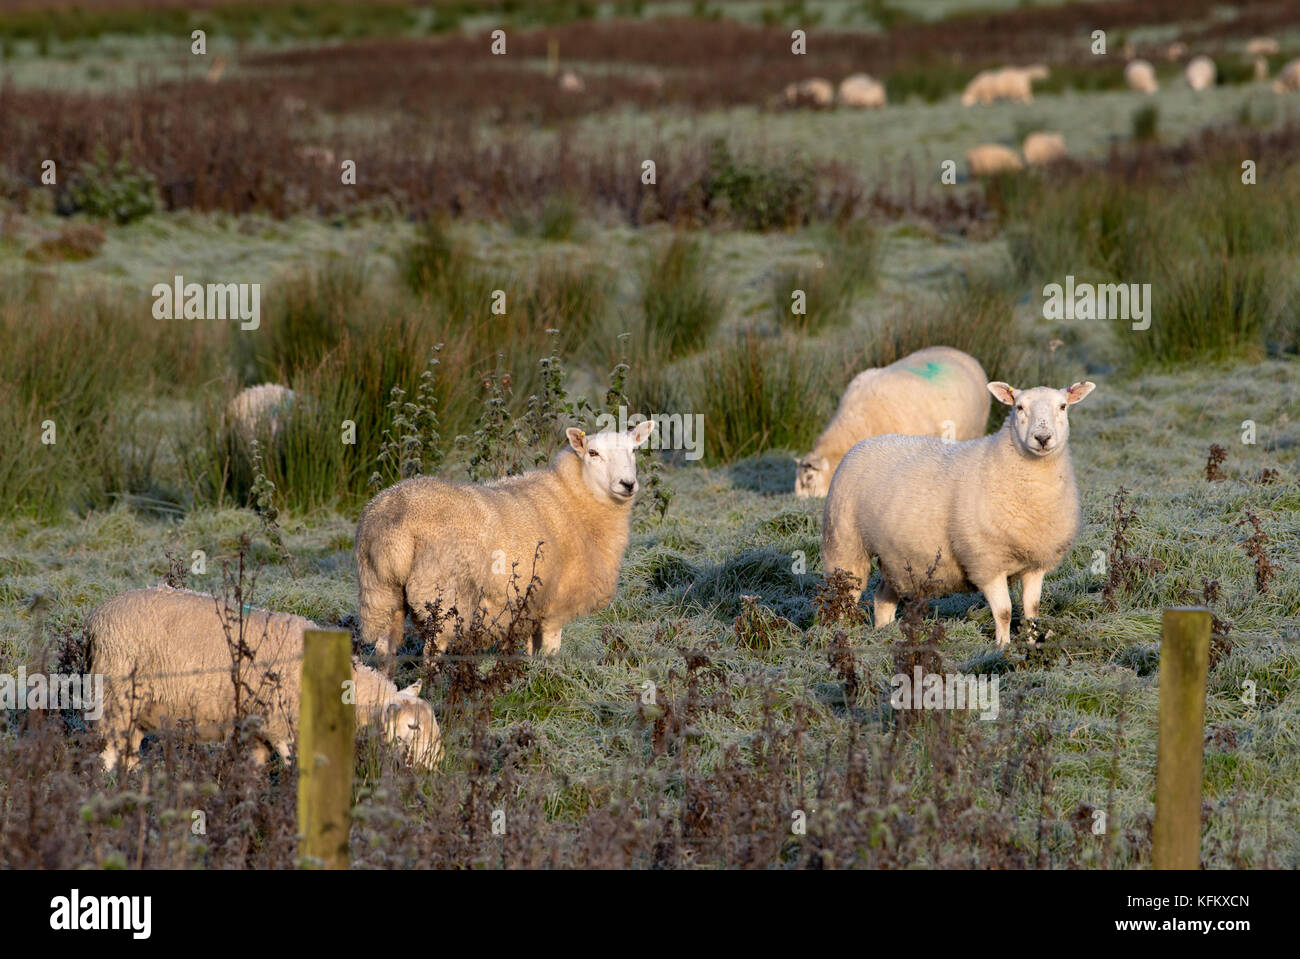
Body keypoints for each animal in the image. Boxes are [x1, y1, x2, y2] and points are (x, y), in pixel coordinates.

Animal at [87, 586, 440, 771]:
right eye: (412, 728)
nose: (435, 770)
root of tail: (98, 616)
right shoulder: (284, 728)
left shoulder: (260, 730)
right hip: (116, 696)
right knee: (108, 753)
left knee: (129, 749)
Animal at [356, 422, 655, 663]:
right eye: (593, 453)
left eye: (634, 451)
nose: (627, 484)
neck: (574, 497)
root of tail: (396, 521)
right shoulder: (555, 607)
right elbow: (551, 650)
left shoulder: (532, 608)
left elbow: (532, 651)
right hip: (441, 595)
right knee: (432, 650)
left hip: (380, 592)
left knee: (384, 648)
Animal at [821, 380, 1096, 648]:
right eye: (1019, 407)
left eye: (1062, 406)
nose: (1042, 438)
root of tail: (863, 442)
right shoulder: (985, 561)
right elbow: (1004, 612)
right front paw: (1002, 648)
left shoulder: (1035, 563)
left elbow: (1032, 611)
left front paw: (1029, 645)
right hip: (844, 544)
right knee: (844, 598)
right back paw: (842, 634)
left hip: (896, 558)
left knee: (882, 598)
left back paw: (885, 635)